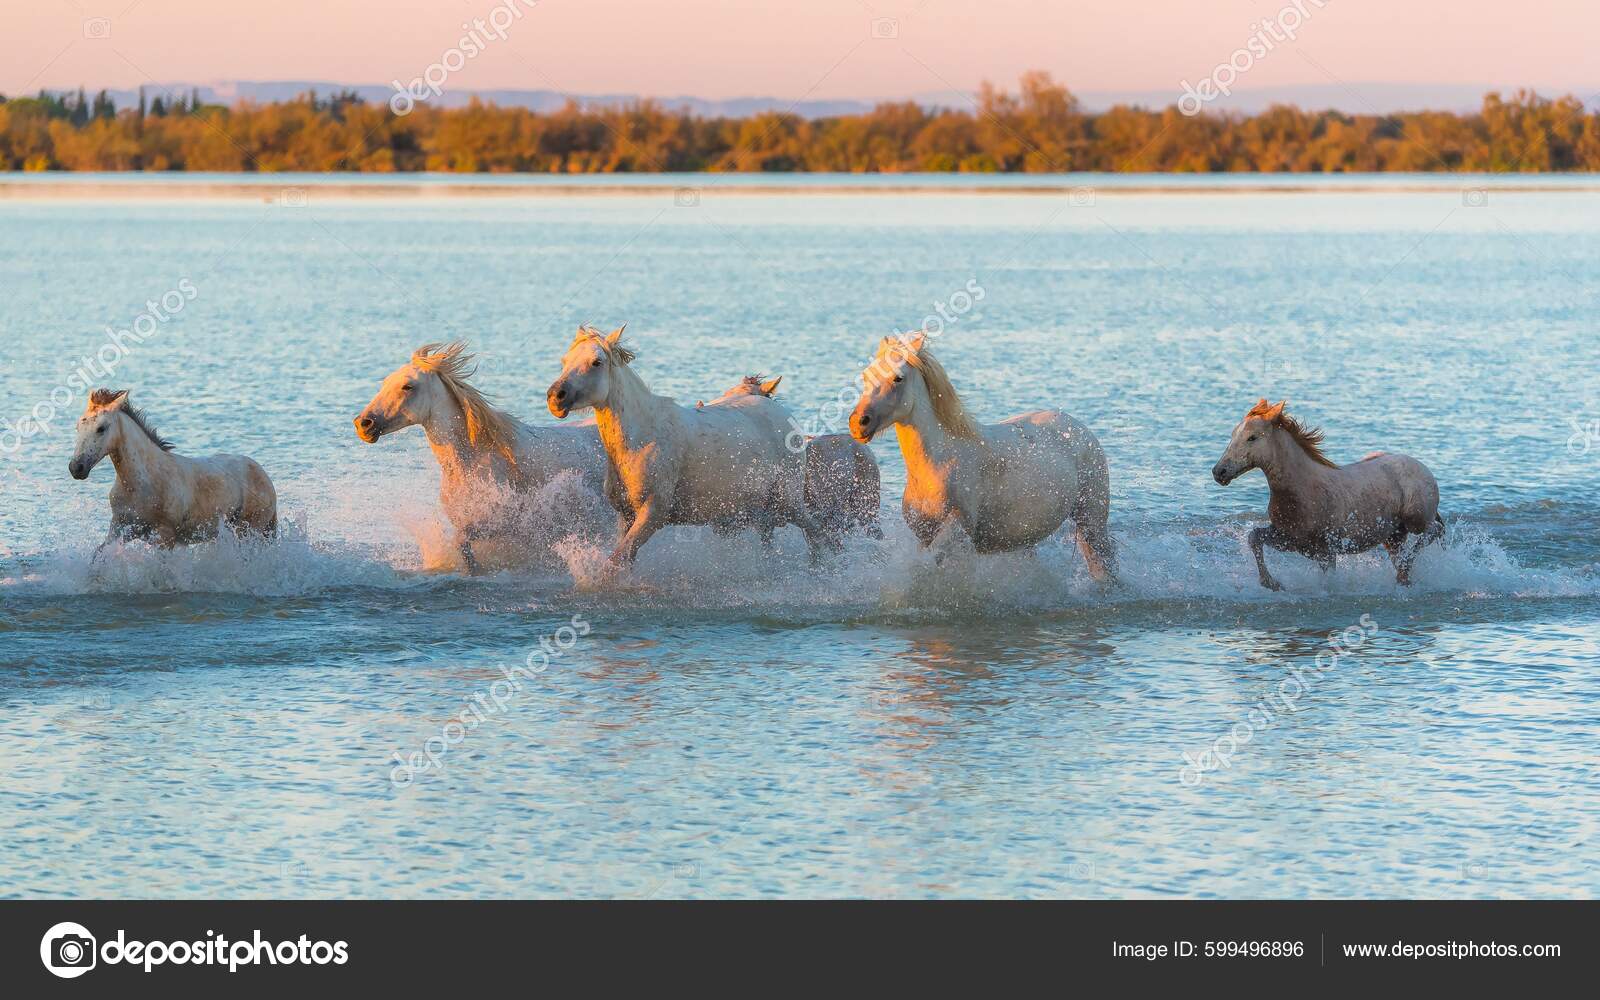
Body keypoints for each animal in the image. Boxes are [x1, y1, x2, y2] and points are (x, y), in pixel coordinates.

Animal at [69, 389, 277, 551]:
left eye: (101, 428)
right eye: (78, 426)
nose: (76, 468)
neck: (140, 484)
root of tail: (264, 476)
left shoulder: (165, 536)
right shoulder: (121, 527)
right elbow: (99, 554)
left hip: (250, 530)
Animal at [355, 341, 609, 574]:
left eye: (408, 386)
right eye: (385, 383)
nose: (363, 424)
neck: (471, 460)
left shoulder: (508, 524)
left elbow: (462, 543)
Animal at [544, 325, 830, 569]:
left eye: (597, 362)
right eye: (564, 361)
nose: (555, 397)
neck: (641, 438)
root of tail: (777, 409)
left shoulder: (653, 513)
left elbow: (615, 562)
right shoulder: (626, 516)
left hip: (787, 502)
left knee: (816, 533)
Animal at [848, 332, 1115, 579]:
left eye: (898, 378)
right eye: (866, 376)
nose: (859, 423)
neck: (937, 464)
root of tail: (1081, 429)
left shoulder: (956, 532)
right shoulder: (924, 536)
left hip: (1092, 522)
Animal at [1212, 399, 1444, 589]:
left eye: (1252, 438)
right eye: (1233, 435)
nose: (1219, 472)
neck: (1300, 490)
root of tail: (1423, 468)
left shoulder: (1325, 550)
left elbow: (1328, 581)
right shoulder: (1289, 539)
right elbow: (1254, 537)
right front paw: (1272, 583)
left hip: (1416, 519)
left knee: (1435, 531)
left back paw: (1407, 565)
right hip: (1393, 536)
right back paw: (1403, 578)